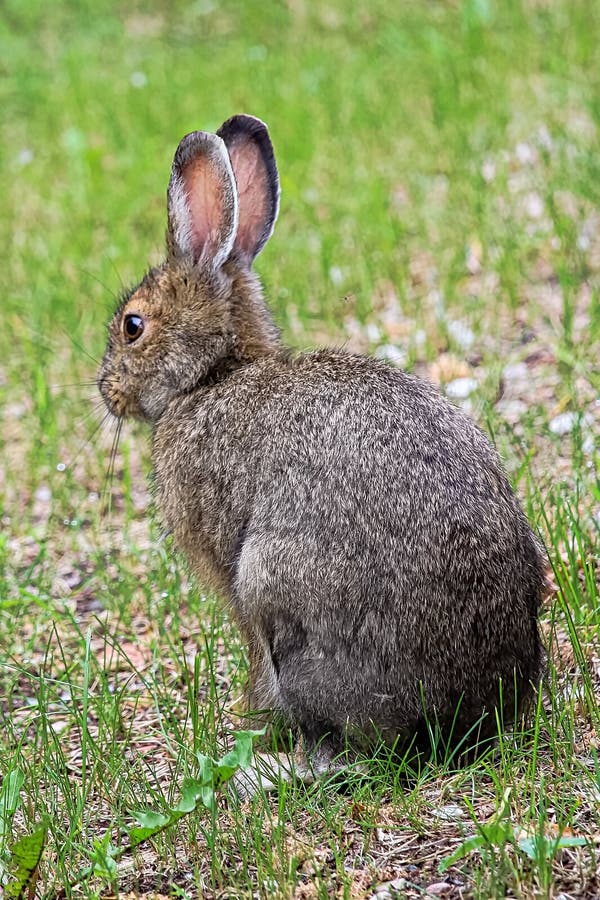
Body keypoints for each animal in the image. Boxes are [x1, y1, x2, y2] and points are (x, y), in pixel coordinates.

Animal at [98, 114, 545, 795]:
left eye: (133, 325)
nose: (106, 390)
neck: (214, 374)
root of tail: (461, 714)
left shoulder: (234, 584)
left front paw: (248, 724)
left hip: (274, 587)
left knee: (363, 752)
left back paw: (275, 766)